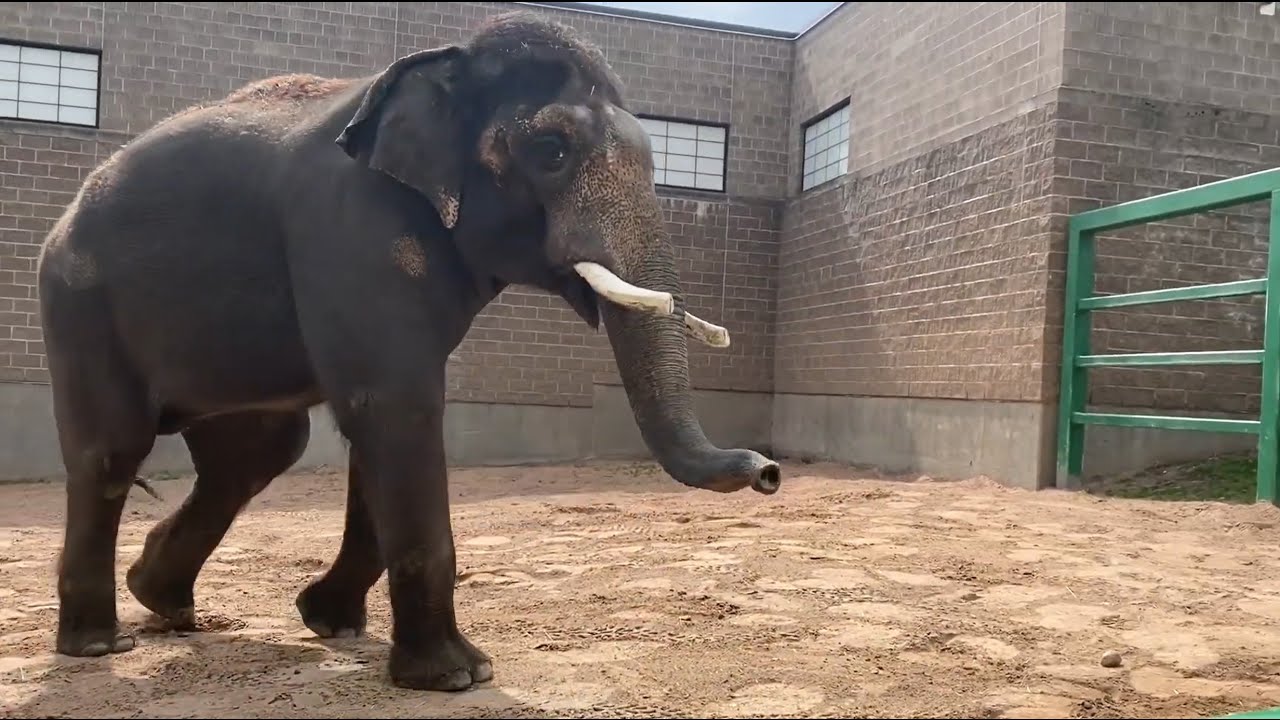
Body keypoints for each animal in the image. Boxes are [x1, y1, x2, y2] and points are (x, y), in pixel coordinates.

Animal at [35, 10, 782, 692]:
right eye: (551, 150)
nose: (770, 471)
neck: (445, 67)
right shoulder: (353, 226)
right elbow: (398, 406)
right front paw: (460, 676)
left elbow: (379, 427)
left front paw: (330, 624)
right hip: (78, 303)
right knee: (112, 451)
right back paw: (100, 645)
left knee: (256, 454)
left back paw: (163, 604)